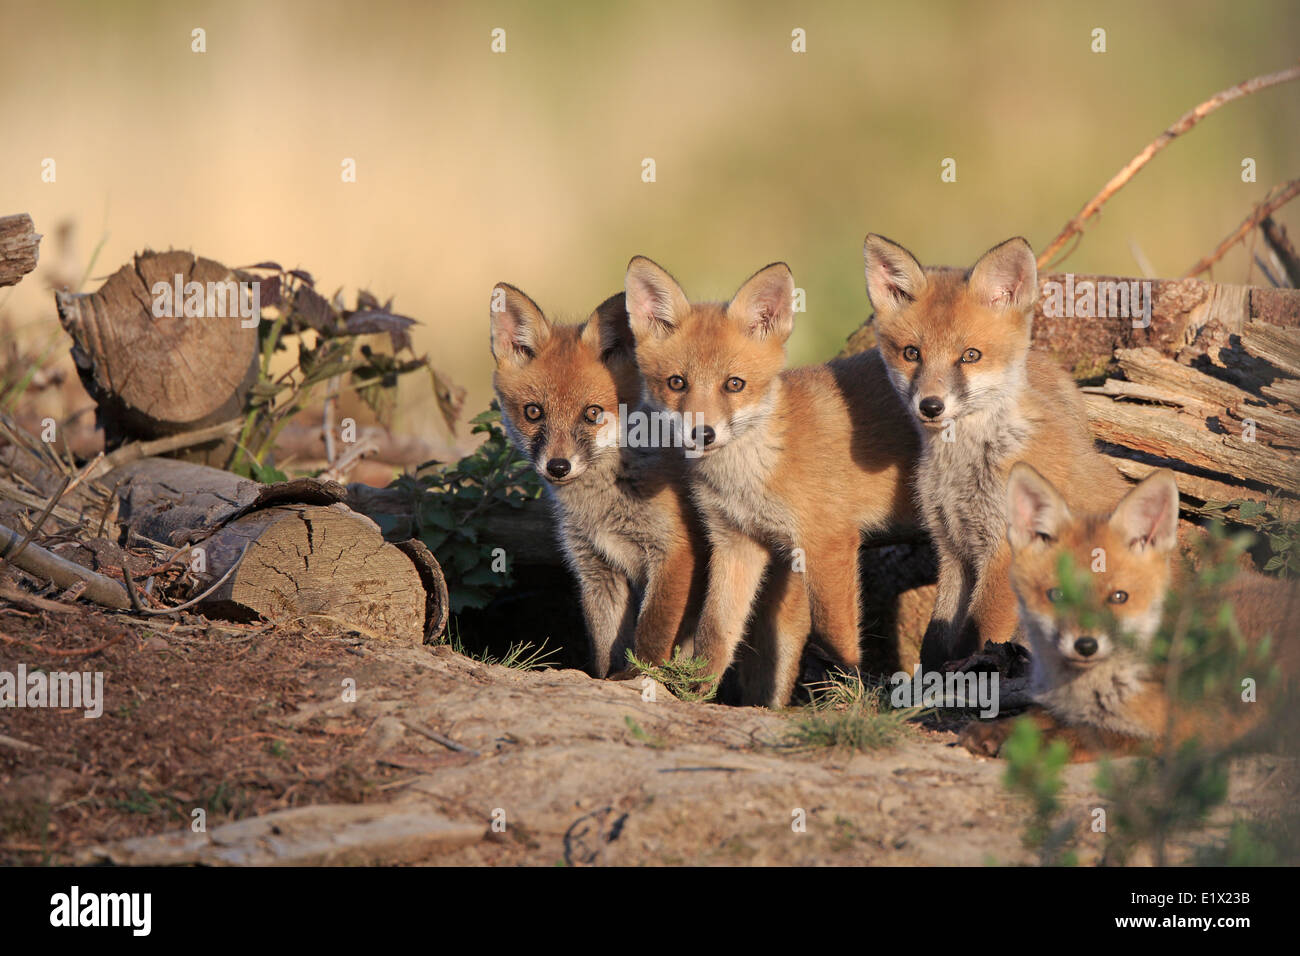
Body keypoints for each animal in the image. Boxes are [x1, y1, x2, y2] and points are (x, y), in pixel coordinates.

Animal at [489, 283, 708, 679]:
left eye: (592, 413)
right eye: (534, 412)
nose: (558, 466)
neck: (604, 507)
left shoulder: (675, 553)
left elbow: (652, 635)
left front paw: (642, 679)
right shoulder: (596, 568)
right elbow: (606, 650)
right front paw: (607, 679)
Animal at [624, 256, 919, 707]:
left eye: (734, 384)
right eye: (677, 383)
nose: (702, 434)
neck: (752, 477)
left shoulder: (828, 543)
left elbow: (836, 635)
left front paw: (850, 698)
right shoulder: (736, 542)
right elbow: (716, 632)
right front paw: (696, 694)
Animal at [864, 234, 1129, 672]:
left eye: (970, 355)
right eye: (912, 353)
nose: (930, 406)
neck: (960, 470)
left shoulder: (1005, 552)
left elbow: (979, 631)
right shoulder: (952, 548)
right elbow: (937, 637)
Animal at [961, 463, 1299, 762]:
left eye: (1119, 597)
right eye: (1057, 595)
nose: (1086, 645)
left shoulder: (1189, 728)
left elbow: (1081, 734)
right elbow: (1036, 716)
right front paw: (995, 730)